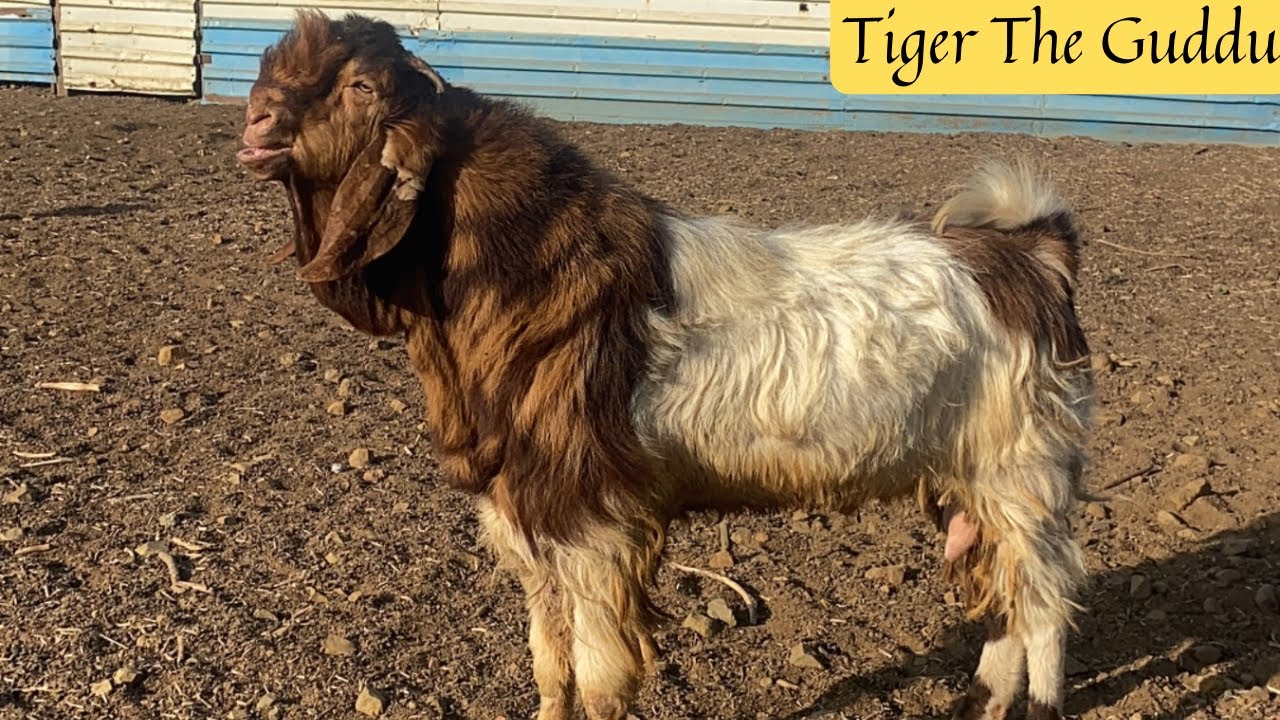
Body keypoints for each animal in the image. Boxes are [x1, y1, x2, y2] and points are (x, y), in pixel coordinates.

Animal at [237, 12, 1093, 720]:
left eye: (360, 87)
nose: (255, 120)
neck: (524, 274)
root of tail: (1034, 258)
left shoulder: (591, 519)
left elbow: (597, 675)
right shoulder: (524, 513)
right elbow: (549, 661)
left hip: (1022, 469)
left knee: (1046, 607)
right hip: (967, 480)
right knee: (1006, 601)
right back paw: (985, 702)